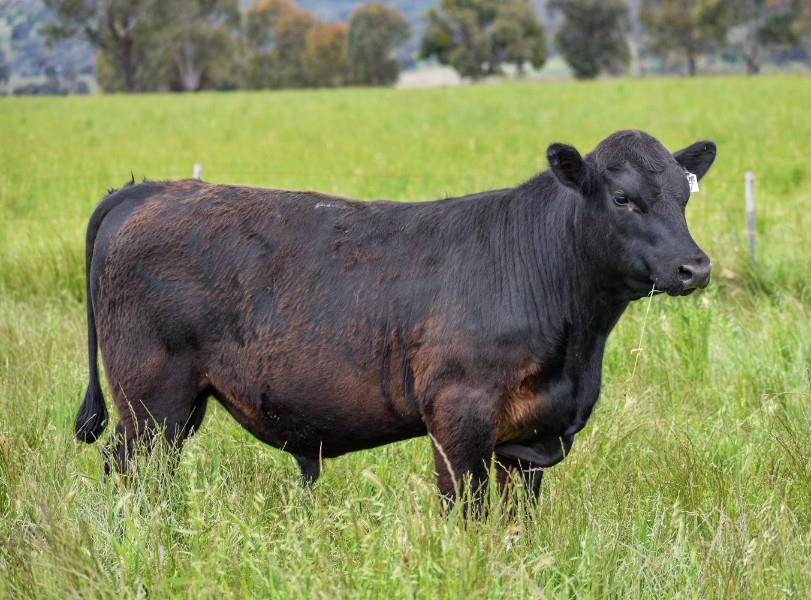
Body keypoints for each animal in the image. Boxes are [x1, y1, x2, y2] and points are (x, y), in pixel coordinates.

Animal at [74, 130, 715, 508]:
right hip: (151, 402)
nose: (694, 267)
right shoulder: (458, 420)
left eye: (684, 197)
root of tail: (150, 190)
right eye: (623, 198)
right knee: (127, 471)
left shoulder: (529, 439)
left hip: (175, 409)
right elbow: (467, 513)